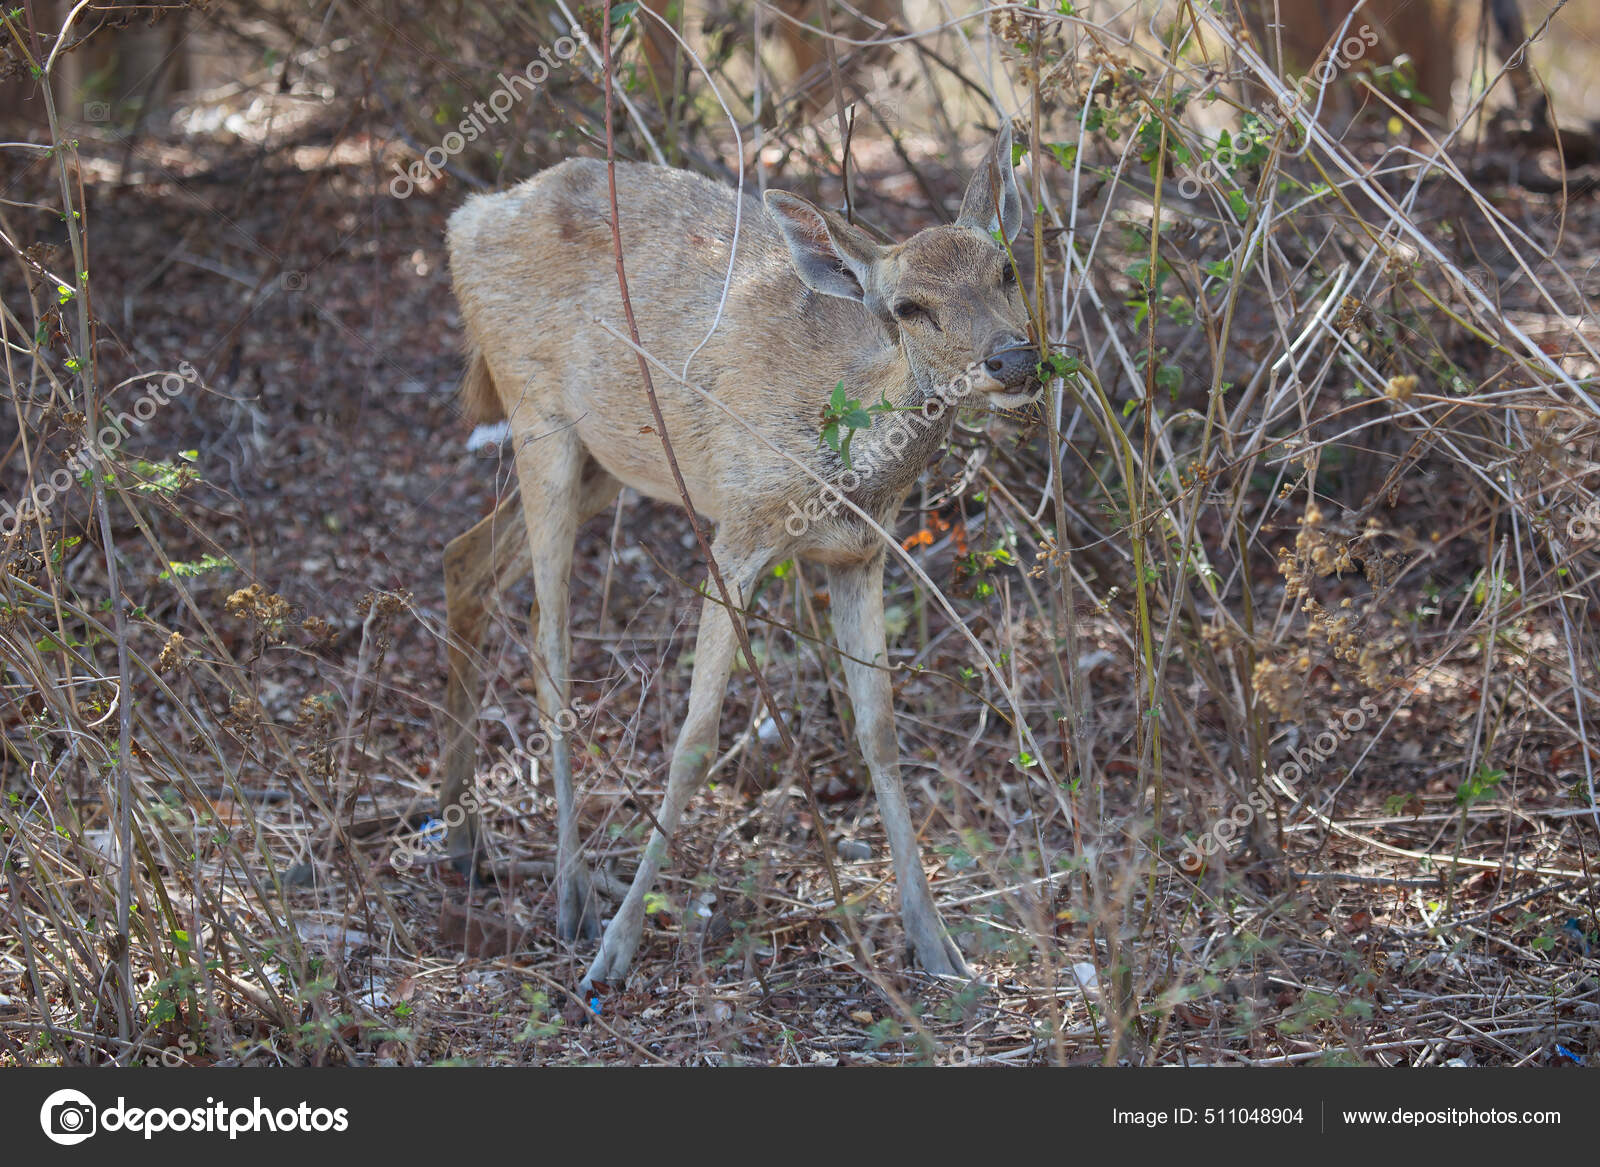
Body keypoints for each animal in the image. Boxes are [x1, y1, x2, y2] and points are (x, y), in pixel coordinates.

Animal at [440, 122, 1038, 990]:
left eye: (1008, 270)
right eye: (908, 308)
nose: (1015, 360)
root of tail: (465, 221)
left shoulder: (861, 553)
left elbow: (881, 734)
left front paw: (937, 945)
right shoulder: (739, 531)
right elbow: (695, 740)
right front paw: (618, 950)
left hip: (603, 459)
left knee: (465, 559)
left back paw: (462, 838)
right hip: (536, 415)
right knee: (549, 649)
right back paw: (574, 897)